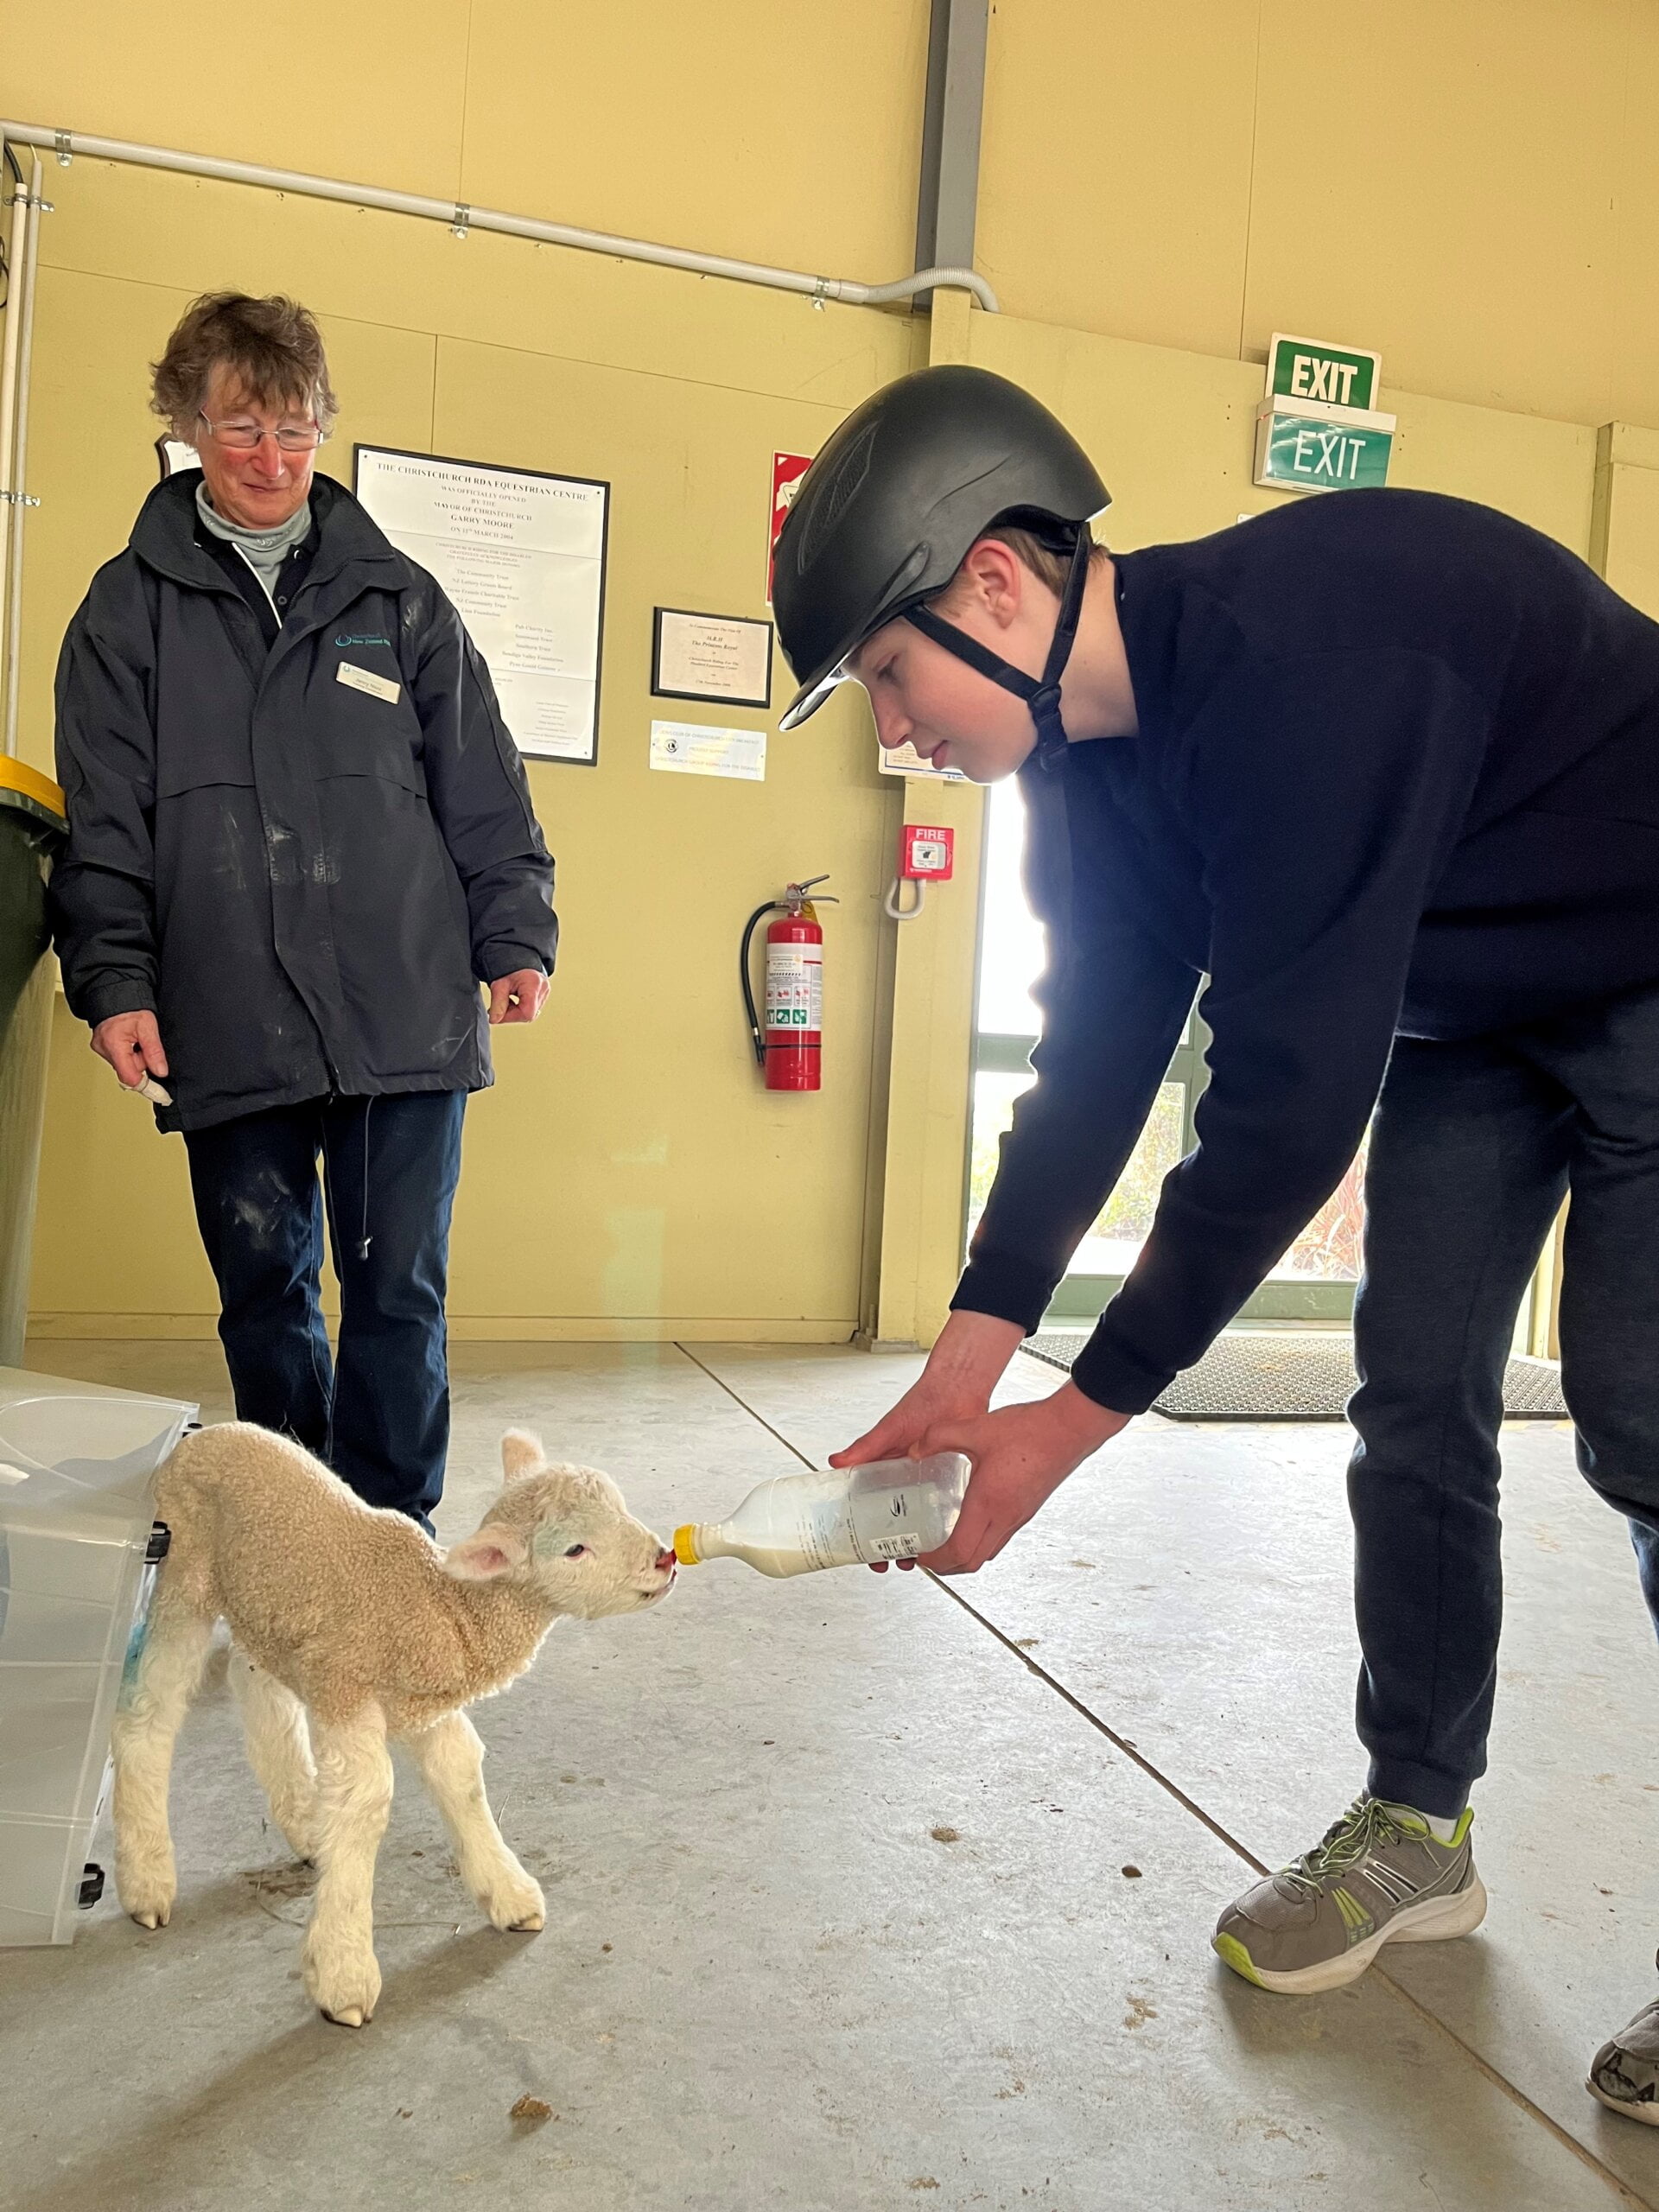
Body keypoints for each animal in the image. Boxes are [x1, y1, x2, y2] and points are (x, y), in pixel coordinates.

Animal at [112, 1420, 676, 2027]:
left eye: (619, 1506)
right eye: (575, 1549)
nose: (666, 1559)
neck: (442, 1609)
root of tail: (200, 1436)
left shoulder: (421, 1706)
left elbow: (460, 1774)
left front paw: (508, 1894)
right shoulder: (346, 1689)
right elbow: (364, 1797)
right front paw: (343, 1974)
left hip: (270, 1613)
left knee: (257, 1686)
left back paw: (306, 1826)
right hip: (186, 1569)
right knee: (147, 1713)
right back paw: (146, 1879)